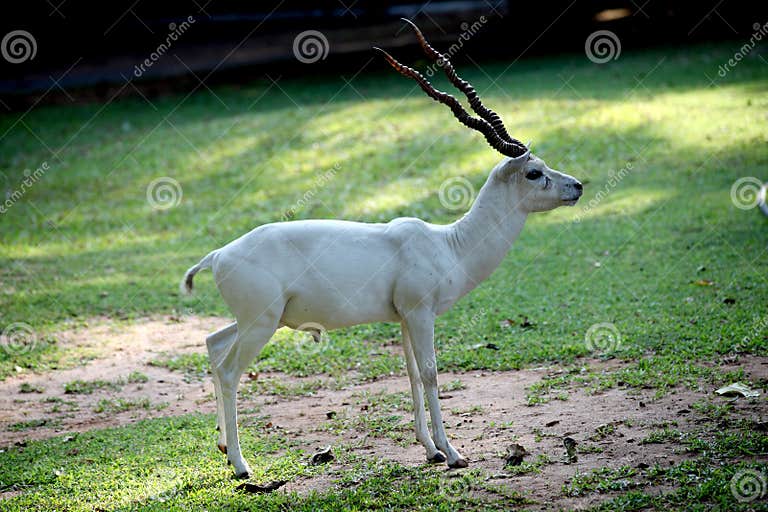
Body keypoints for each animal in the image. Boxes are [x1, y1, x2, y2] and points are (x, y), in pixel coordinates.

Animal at [181, 20, 583, 478]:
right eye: (534, 172)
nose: (577, 186)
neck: (450, 244)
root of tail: (217, 255)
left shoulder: (405, 317)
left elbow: (410, 374)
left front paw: (430, 450)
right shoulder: (421, 313)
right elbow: (430, 373)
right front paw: (453, 453)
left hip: (255, 320)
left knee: (213, 346)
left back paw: (222, 446)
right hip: (261, 324)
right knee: (230, 371)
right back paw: (241, 465)